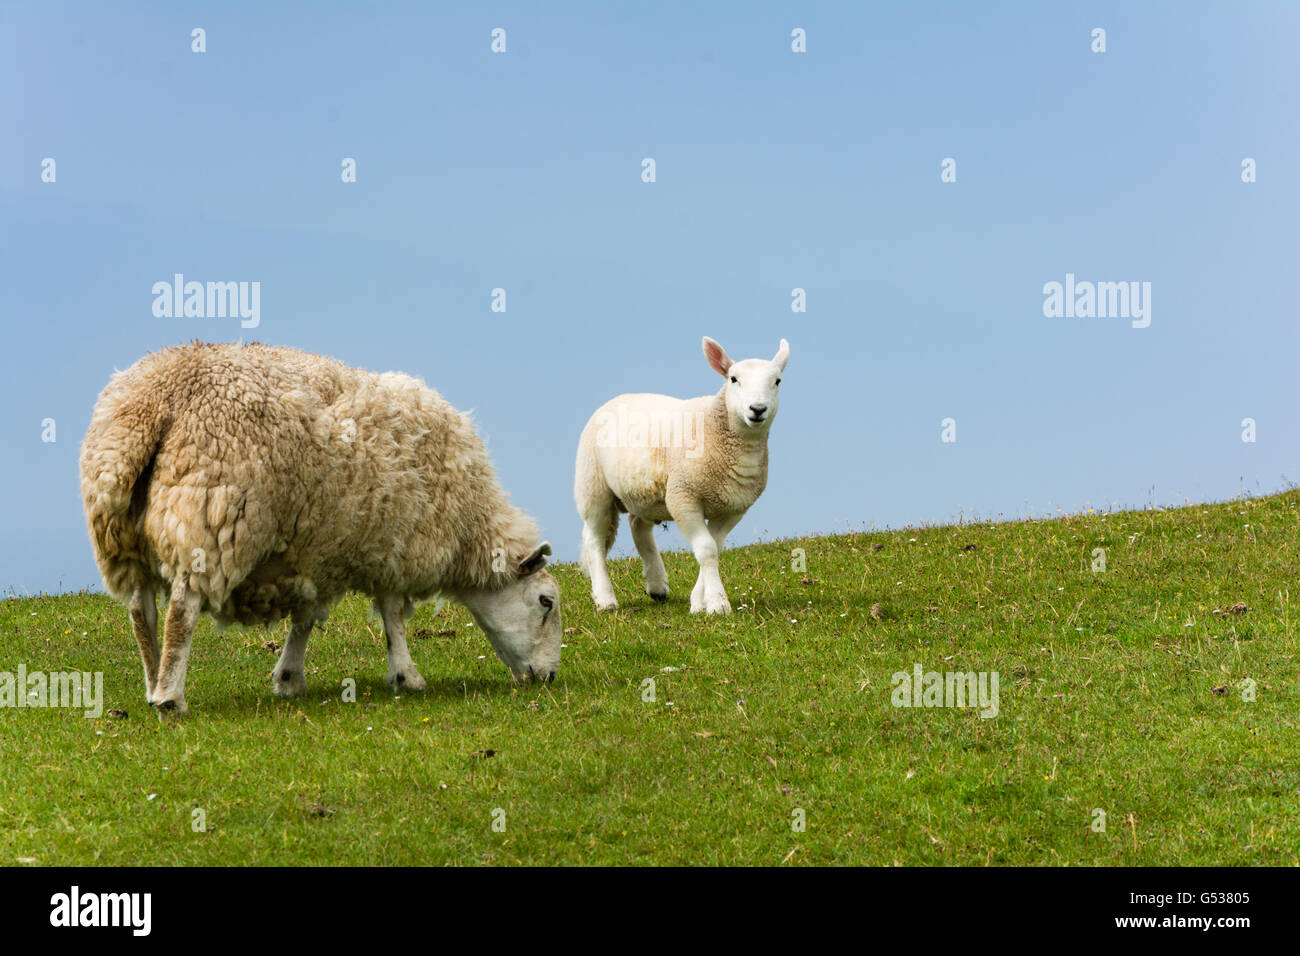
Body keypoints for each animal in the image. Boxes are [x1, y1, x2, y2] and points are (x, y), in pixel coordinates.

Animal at [79, 341, 561, 715]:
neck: (468, 529)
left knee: (141, 611)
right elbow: (391, 614)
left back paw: (151, 684)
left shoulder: (319, 550)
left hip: (121, 534)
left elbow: (306, 617)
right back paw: (170, 698)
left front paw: (289, 677)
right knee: (182, 610)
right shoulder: (395, 542)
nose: (550, 677)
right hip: (207, 520)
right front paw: (406, 676)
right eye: (546, 602)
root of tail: (154, 402)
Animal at [574, 336, 789, 615]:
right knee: (594, 540)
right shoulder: (683, 497)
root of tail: (619, 398)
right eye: (733, 379)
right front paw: (718, 604)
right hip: (593, 485)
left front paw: (699, 602)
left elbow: (714, 548)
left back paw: (657, 585)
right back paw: (605, 598)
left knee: (638, 527)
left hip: (643, 494)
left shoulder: (733, 509)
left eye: (777, 381)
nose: (758, 409)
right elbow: (707, 550)